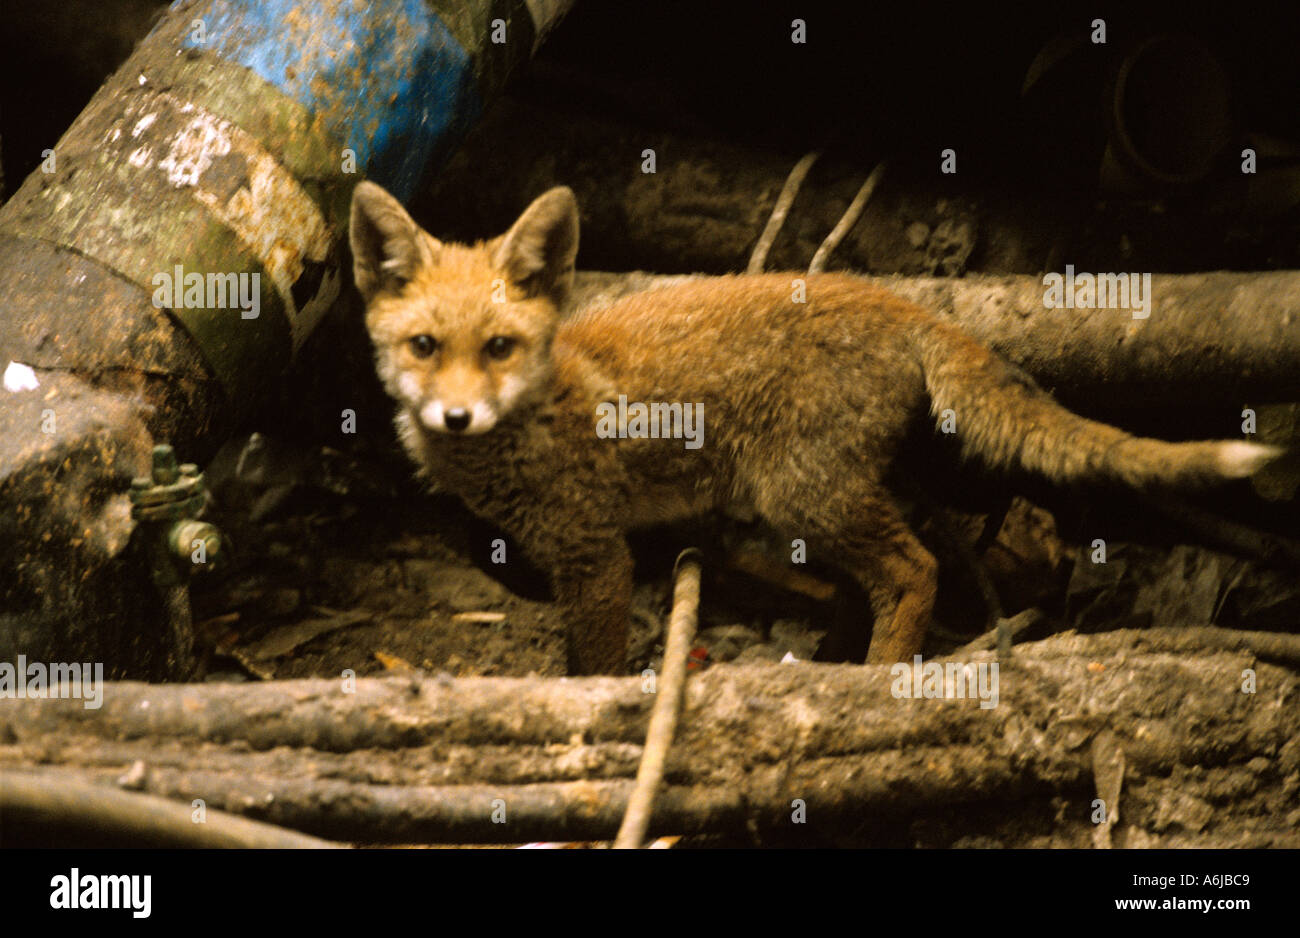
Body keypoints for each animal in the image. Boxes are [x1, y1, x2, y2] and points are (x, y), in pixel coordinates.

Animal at [349, 180, 1281, 675]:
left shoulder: (595, 553)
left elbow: (595, 668)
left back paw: (876, 678)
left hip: (805, 494)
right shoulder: (568, 553)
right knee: (871, 581)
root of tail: (898, 300)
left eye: (498, 347)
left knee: (914, 570)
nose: (456, 414)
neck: (537, 416)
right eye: (424, 347)